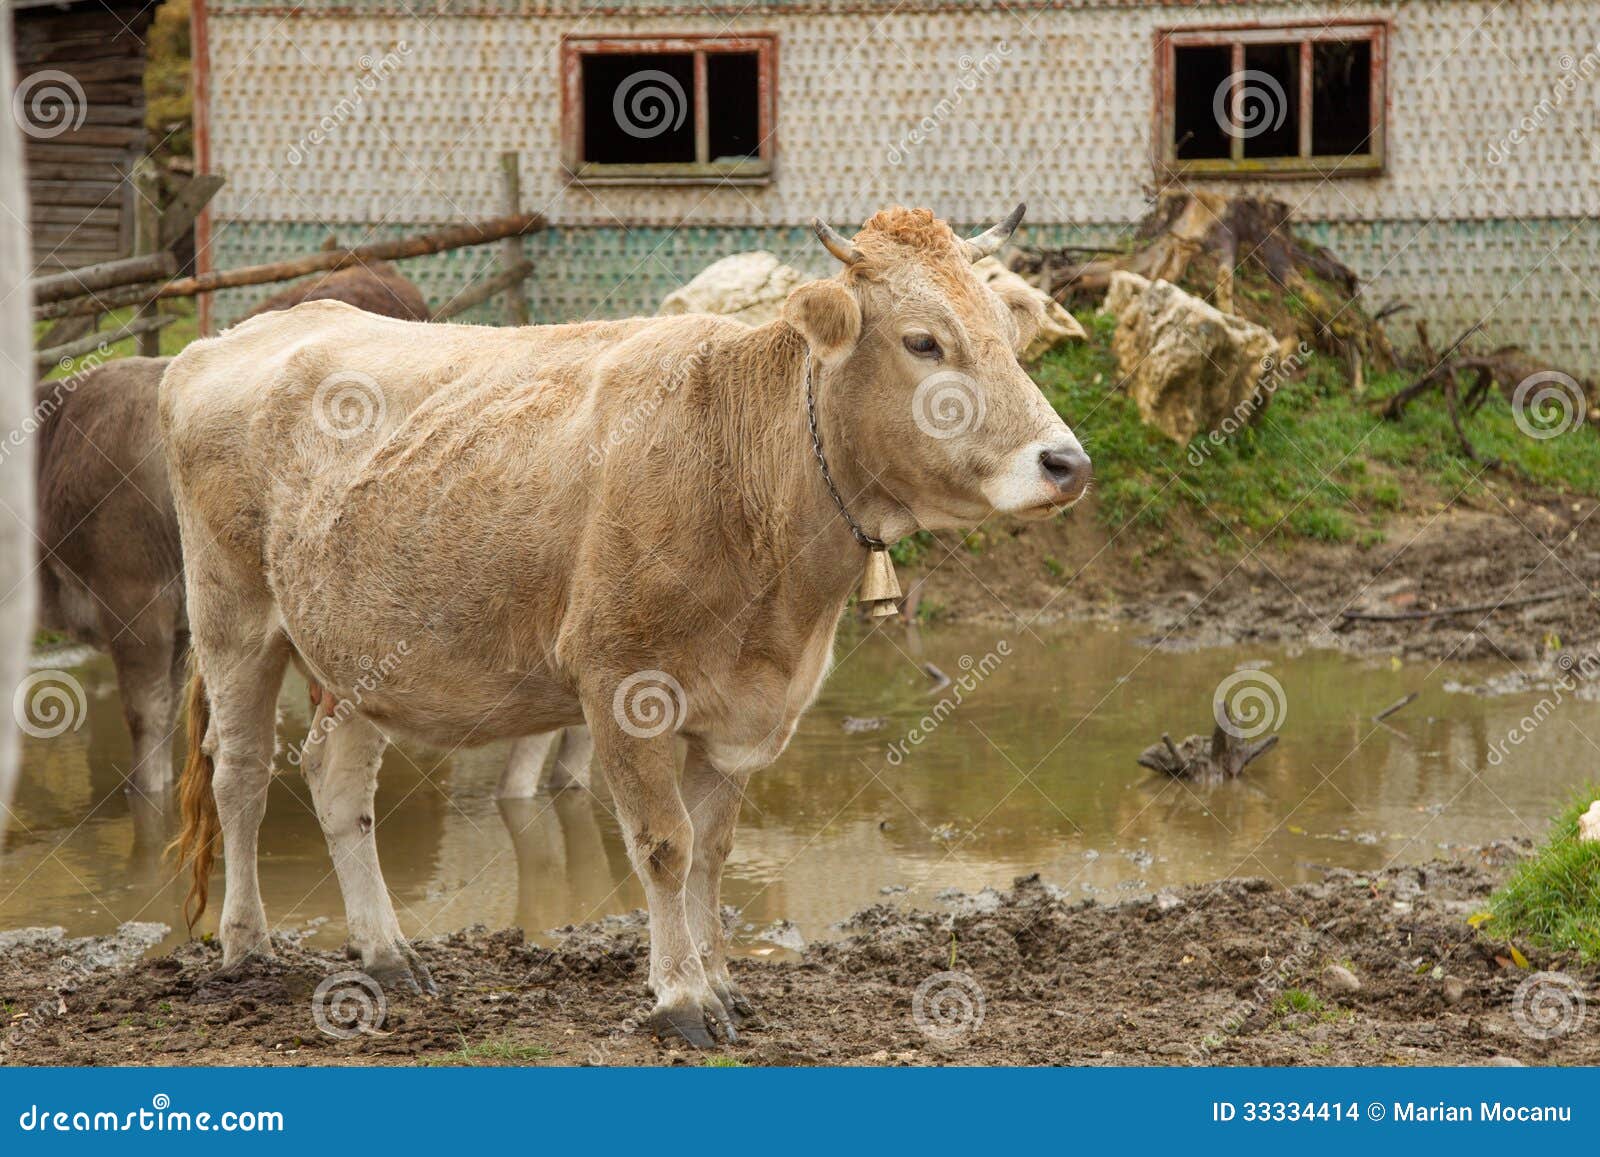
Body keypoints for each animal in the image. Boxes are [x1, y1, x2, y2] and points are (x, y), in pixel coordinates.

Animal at [162, 205, 1091, 1046]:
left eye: (1008, 337)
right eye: (924, 342)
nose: (1067, 462)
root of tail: (236, 336)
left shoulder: (744, 712)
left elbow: (713, 851)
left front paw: (721, 982)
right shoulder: (622, 683)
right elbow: (665, 845)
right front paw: (681, 998)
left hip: (359, 654)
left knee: (337, 779)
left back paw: (387, 953)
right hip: (233, 618)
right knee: (240, 775)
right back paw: (247, 945)